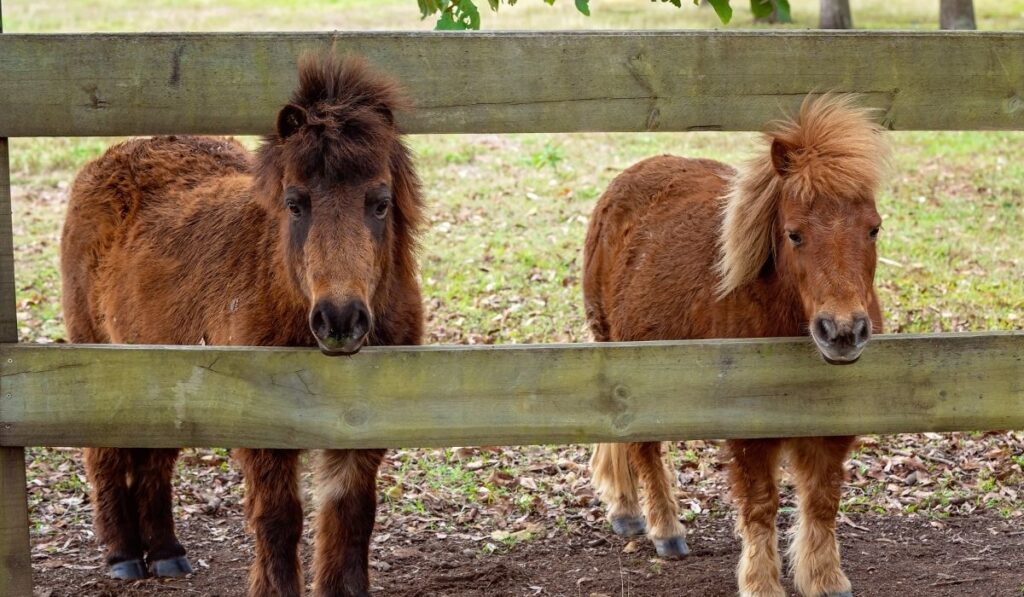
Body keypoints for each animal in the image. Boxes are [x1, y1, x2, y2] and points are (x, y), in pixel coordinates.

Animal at [61, 54, 423, 596]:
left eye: (380, 202)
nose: (340, 320)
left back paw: (165, 552)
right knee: (105, 455)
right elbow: (278, 518)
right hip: (99, 355)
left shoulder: (362, 422)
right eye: (295, 203)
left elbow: (350, 517)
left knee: (155, 461)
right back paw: (123, 554)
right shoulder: (261, 422)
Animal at [583, 95, 888, 597]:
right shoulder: (748, 428)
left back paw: (626, 511)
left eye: (874, 229)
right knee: (644, 450)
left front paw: (825, 578)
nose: (842, 332)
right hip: (629, 364)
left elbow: (822, 501)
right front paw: (761, 583)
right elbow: (761, 506)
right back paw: (665, 531)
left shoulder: (834, 423)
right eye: (794, 233)